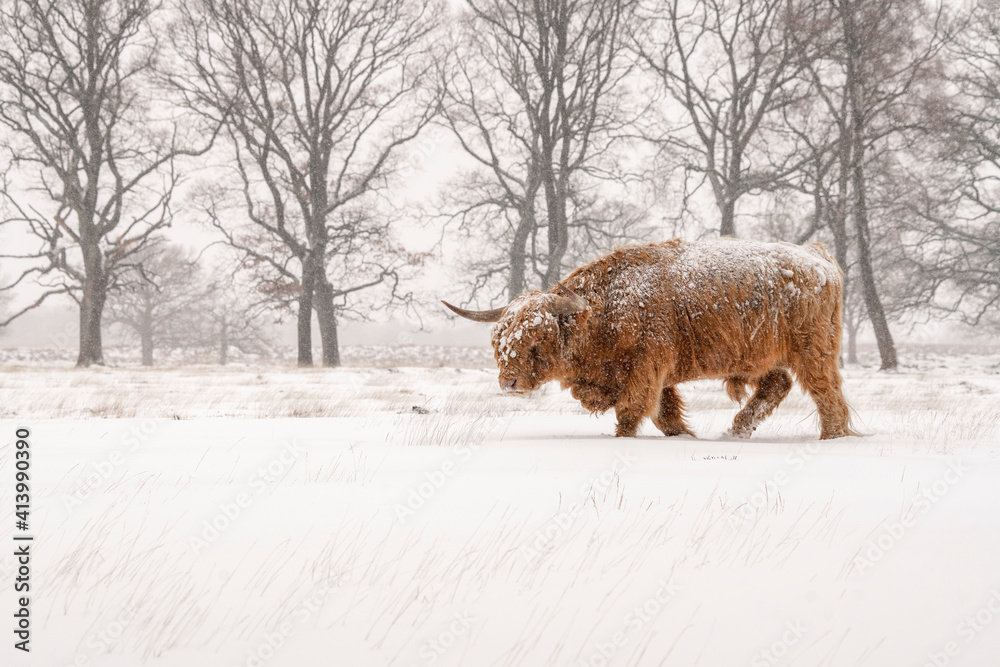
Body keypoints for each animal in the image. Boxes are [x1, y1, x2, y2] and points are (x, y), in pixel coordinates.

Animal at [442, 238, 853, 439]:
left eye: (536, 340)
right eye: (499, 342)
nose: (509, 382)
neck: (603, 311)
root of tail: (818, 257)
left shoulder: (645, 369)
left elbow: (631, 413)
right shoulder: (660, 378)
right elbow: (665, 415)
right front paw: (685, 437)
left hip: (814, 352)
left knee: (827, 395)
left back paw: (832, 438)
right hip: (760, 356)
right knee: (777, 385)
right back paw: (736, 431)